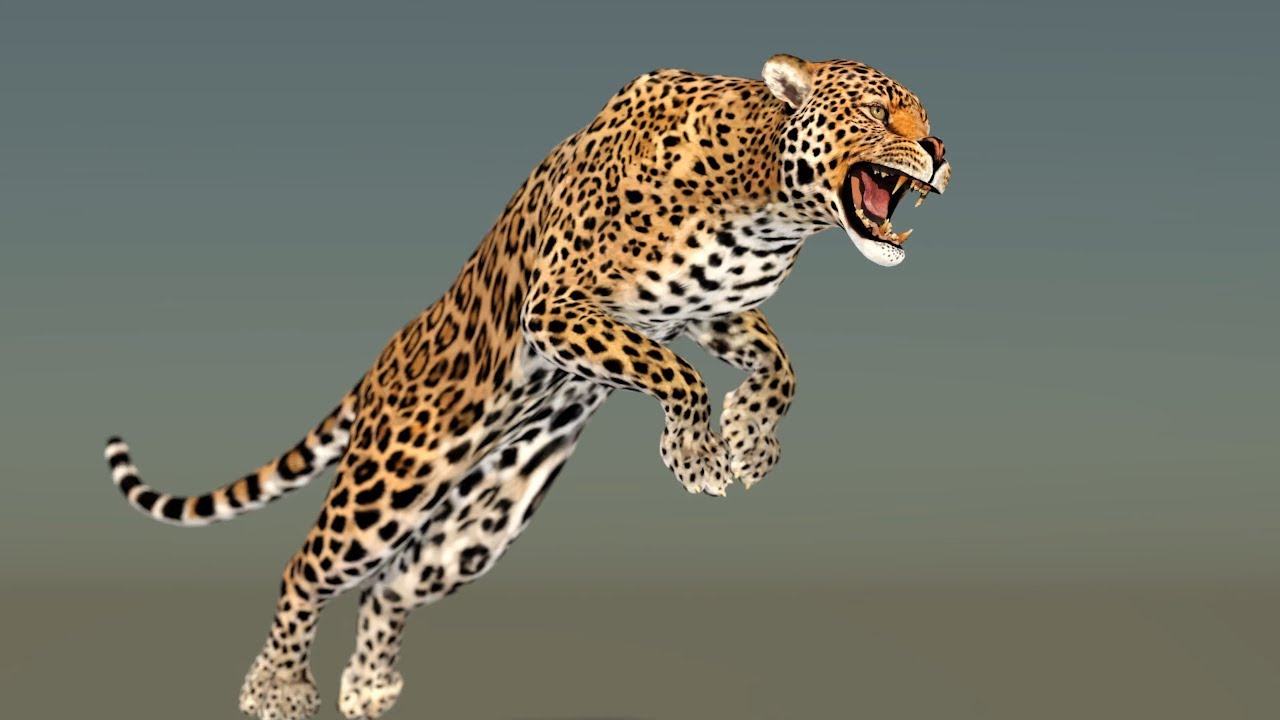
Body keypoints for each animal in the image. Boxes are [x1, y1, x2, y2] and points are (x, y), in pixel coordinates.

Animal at [103, 53, 950, 720]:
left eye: (925, 115)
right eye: (879, 113)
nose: (940, 149)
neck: (766, 197)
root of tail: (382, 361)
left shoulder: (711, 308)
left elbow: (779, 366)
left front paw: (749, 438)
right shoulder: (559, 306)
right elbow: (672, 371)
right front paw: (697, 455)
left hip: (487, 517)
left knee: (389, 587)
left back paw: (369, 687)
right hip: (394, 476)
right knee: (306, 568)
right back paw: (275, 688)